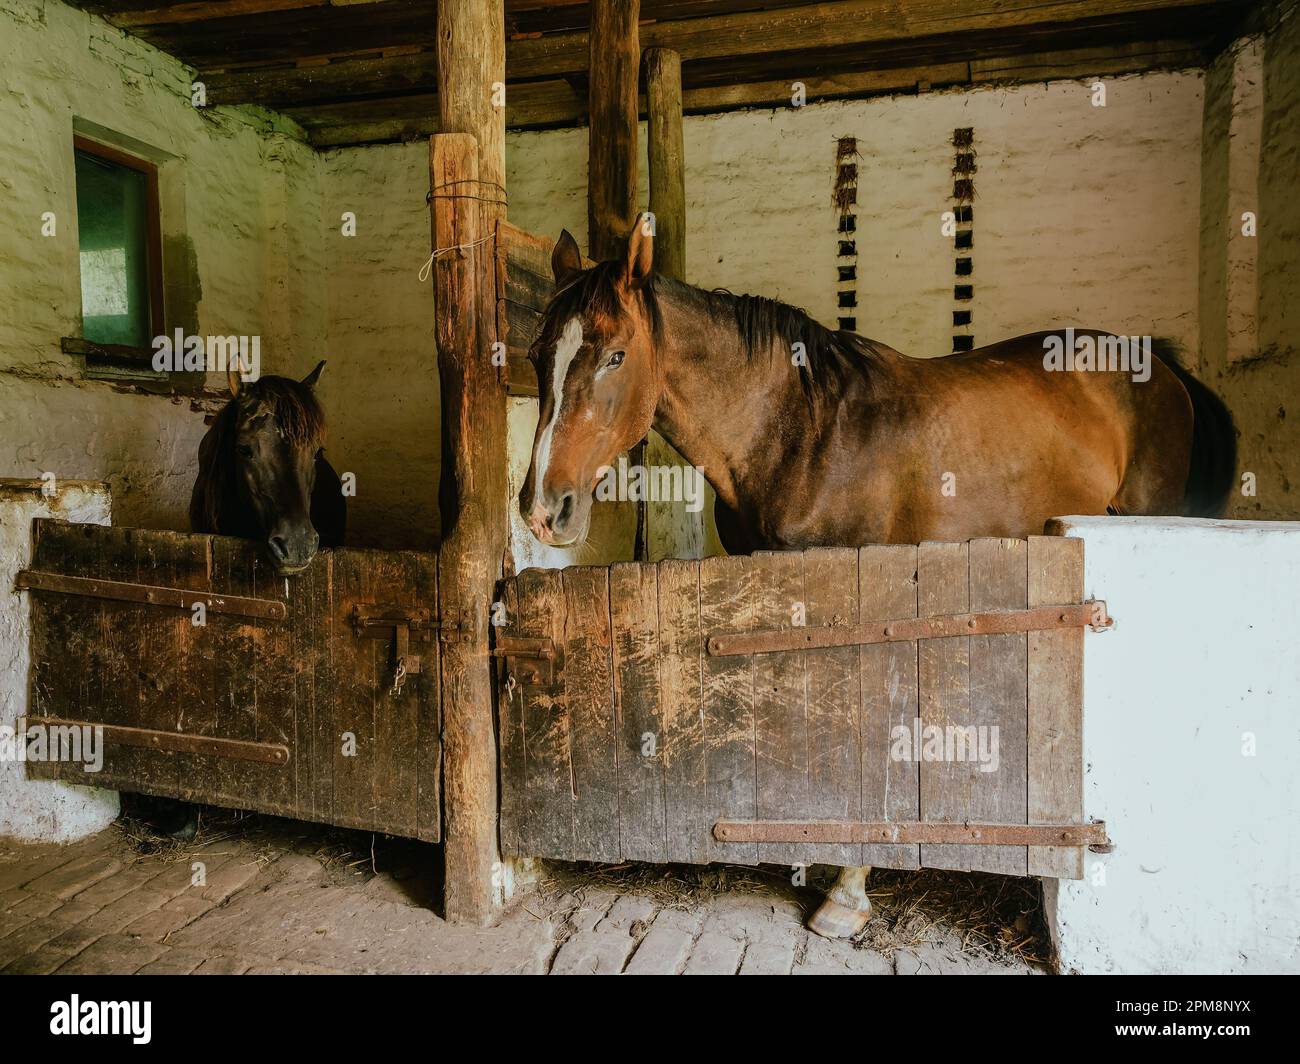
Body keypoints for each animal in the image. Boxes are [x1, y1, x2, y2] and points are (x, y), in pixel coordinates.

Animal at [519, 213, 1236, 939]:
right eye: (535, 356)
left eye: (614, 355)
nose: (544, 509)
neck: (802, 428)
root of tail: (1161, 369)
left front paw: (846, 892)